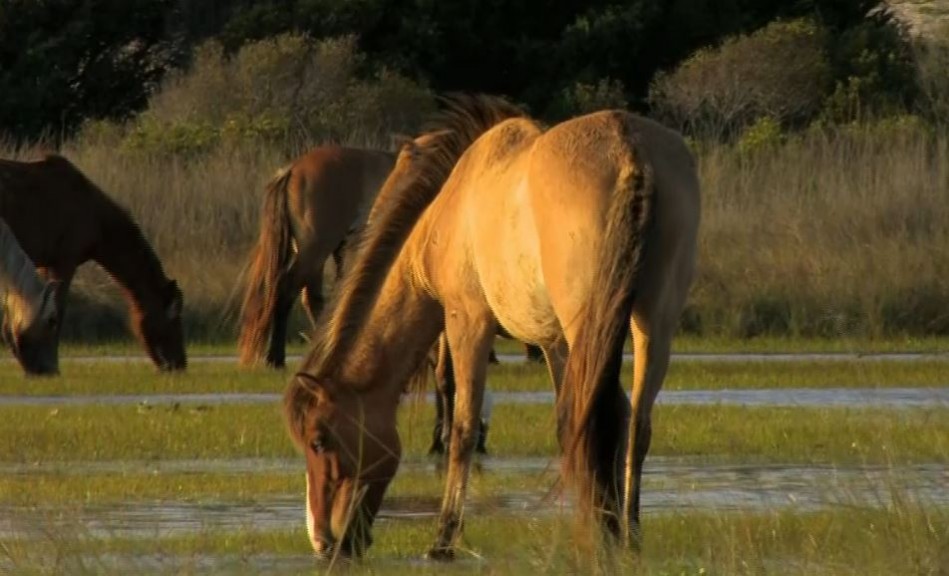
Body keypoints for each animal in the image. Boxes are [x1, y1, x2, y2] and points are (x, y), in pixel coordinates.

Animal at [282, 94, 700, 561]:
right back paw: (629, 532)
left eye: (319, 440)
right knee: (635, 423)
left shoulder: (467, 322)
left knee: (602, 416)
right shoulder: (553, 342)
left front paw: (444, 538)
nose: (323, 541)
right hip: (652, 324)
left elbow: (464, 428)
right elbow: (566, 425)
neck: (448, 207)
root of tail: (630, 149)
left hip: (590, 326)